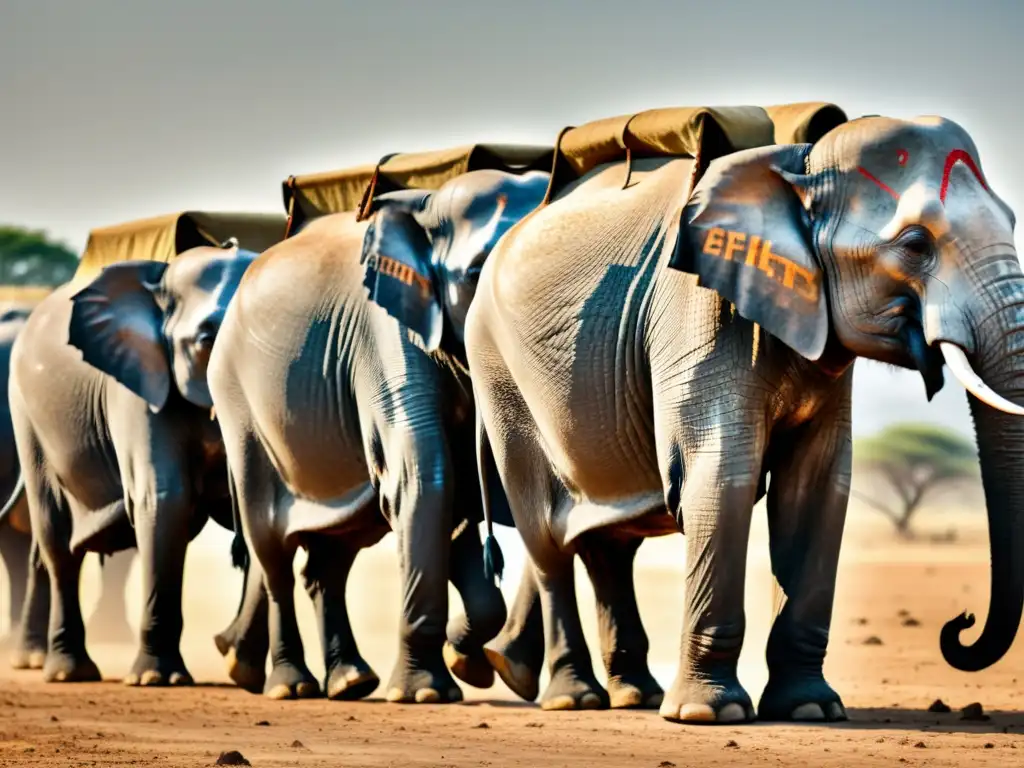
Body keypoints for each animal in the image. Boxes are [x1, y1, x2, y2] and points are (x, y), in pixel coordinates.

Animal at [8, 211, 282, 684]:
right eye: (206, 340)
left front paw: (239, 667)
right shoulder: (135, 384)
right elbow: (164, 498)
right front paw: (159, 679)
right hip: (26, 415)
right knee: (56, 538)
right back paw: (67, 672)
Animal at [438, 111, 1024, 724]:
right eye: (914, 245)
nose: (959, 625)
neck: (802, 165)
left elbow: (816, 487)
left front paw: (810, 709)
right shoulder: (702, 312)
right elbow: (724, 476)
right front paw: (708, 715)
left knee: (608, 542)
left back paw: (634, 696)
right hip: (499, 377)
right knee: (547, 541)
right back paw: (575, 700)